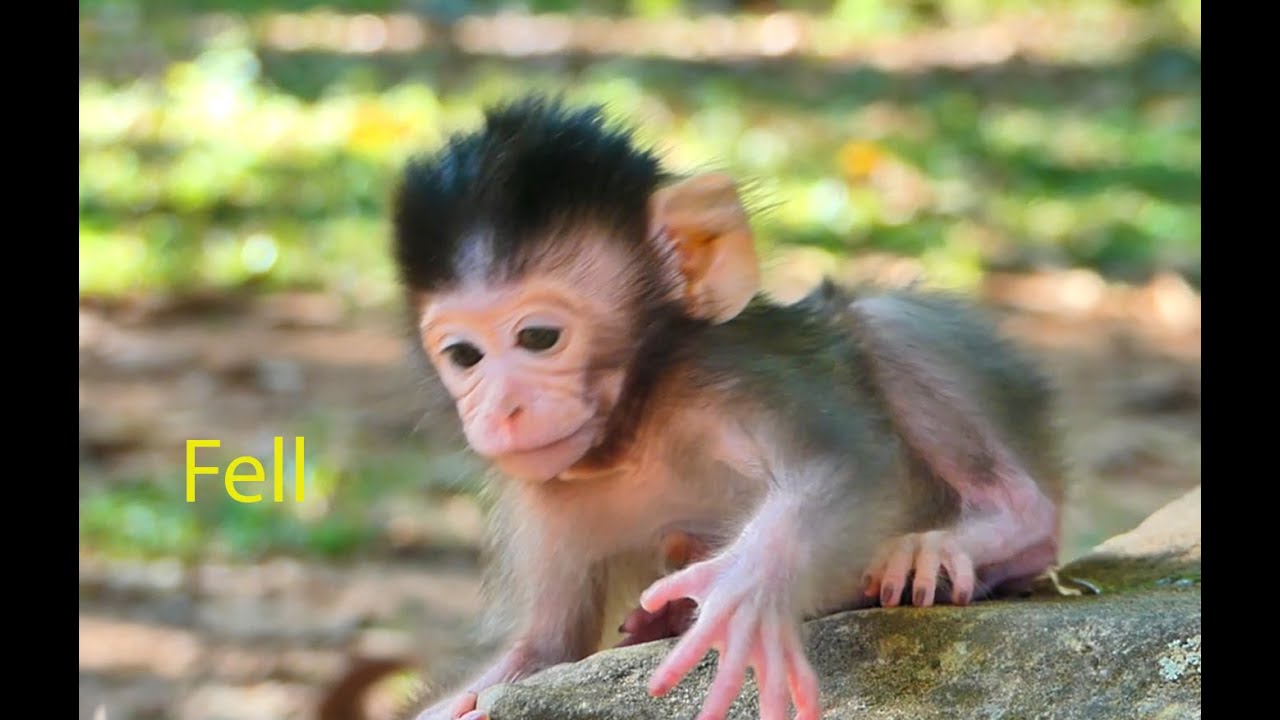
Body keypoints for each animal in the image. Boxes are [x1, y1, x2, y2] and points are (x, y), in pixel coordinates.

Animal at [391, 96, 1064, 720]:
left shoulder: (727, 373)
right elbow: (548, 648)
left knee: (878, 324)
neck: (636, 427)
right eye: (464, 355)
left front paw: (744, 591)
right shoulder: (545, 493)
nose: (500, 409)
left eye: (538, 338)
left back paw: (985, 530)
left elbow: (845, 466)